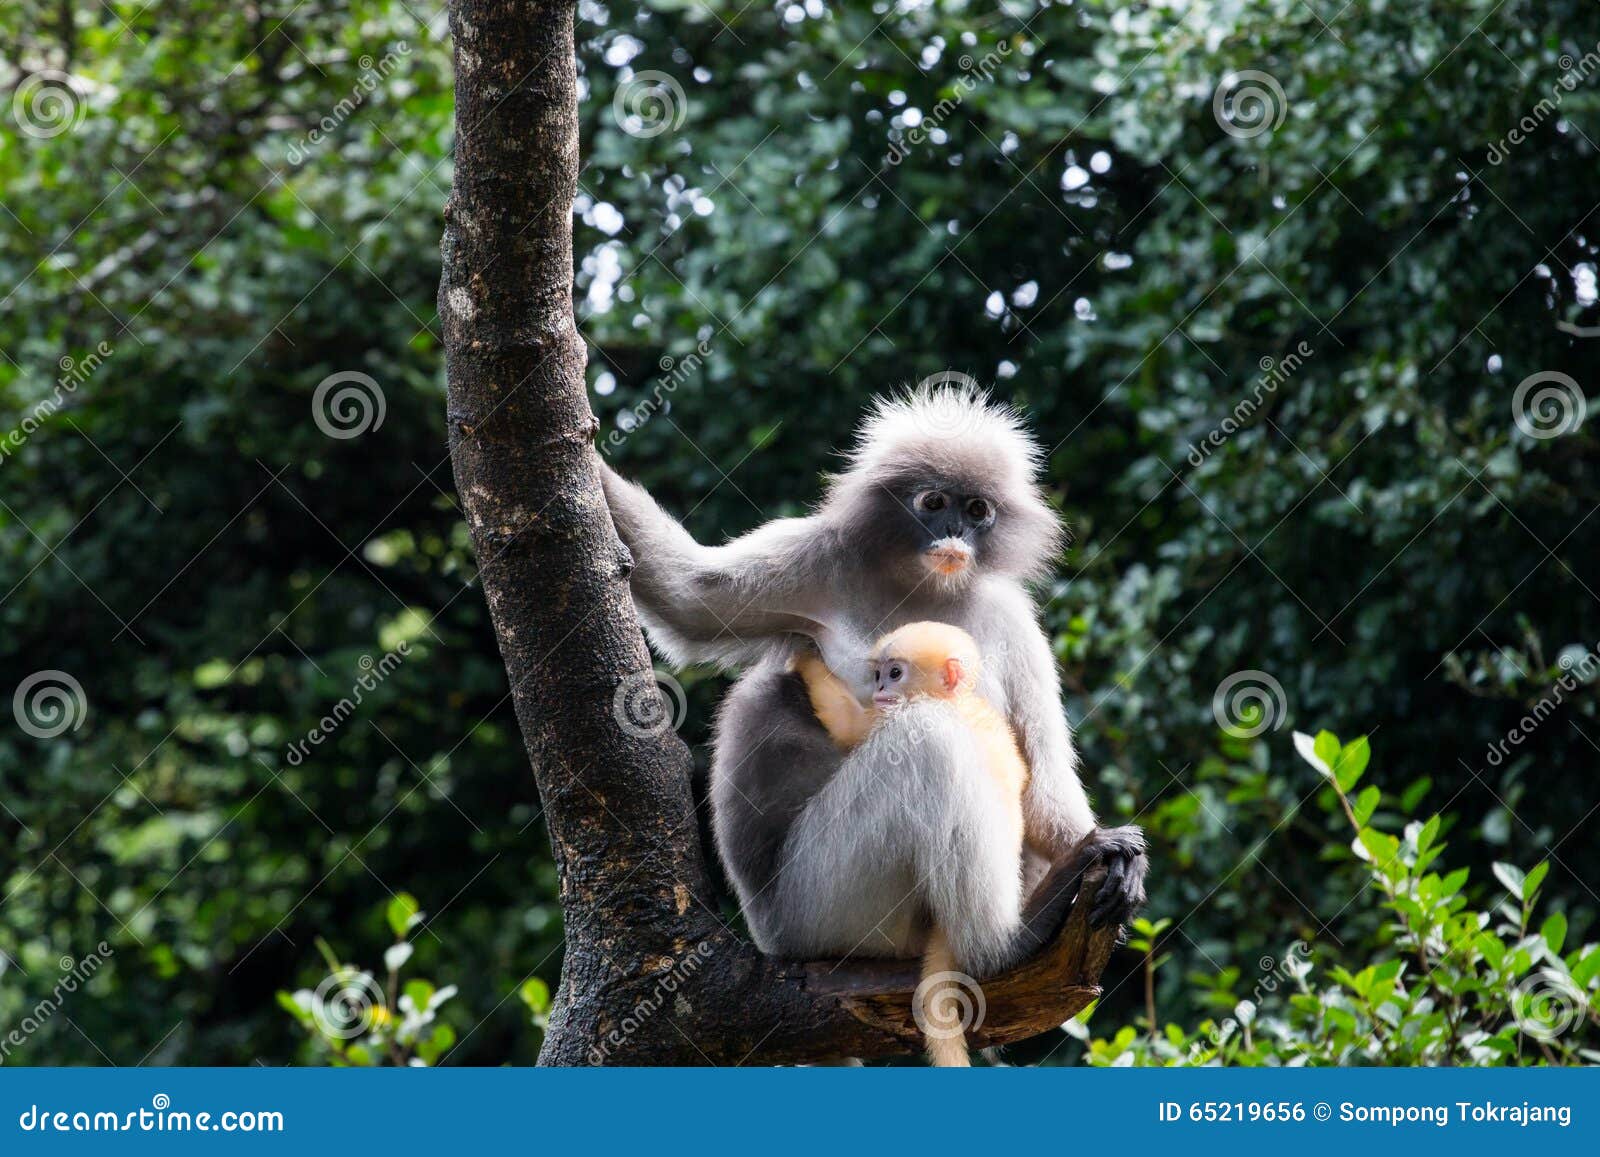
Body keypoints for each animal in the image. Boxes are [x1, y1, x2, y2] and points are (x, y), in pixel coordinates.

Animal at [599, 383, 1147, 994]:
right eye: (934, 502)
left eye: (976, 510)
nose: (956, 534)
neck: (924, 583)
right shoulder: (817, 556)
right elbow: (686, 595)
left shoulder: (1013, 617)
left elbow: (1044, 778)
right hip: (821, 907)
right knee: (928, 743)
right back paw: (1004, 944)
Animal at [799, 620, 1028, 1066]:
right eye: (878, 673)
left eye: (894, 673)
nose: (878, 688)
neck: (948, 700)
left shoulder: (904, 716)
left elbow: (850, 725)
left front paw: (803, 660)